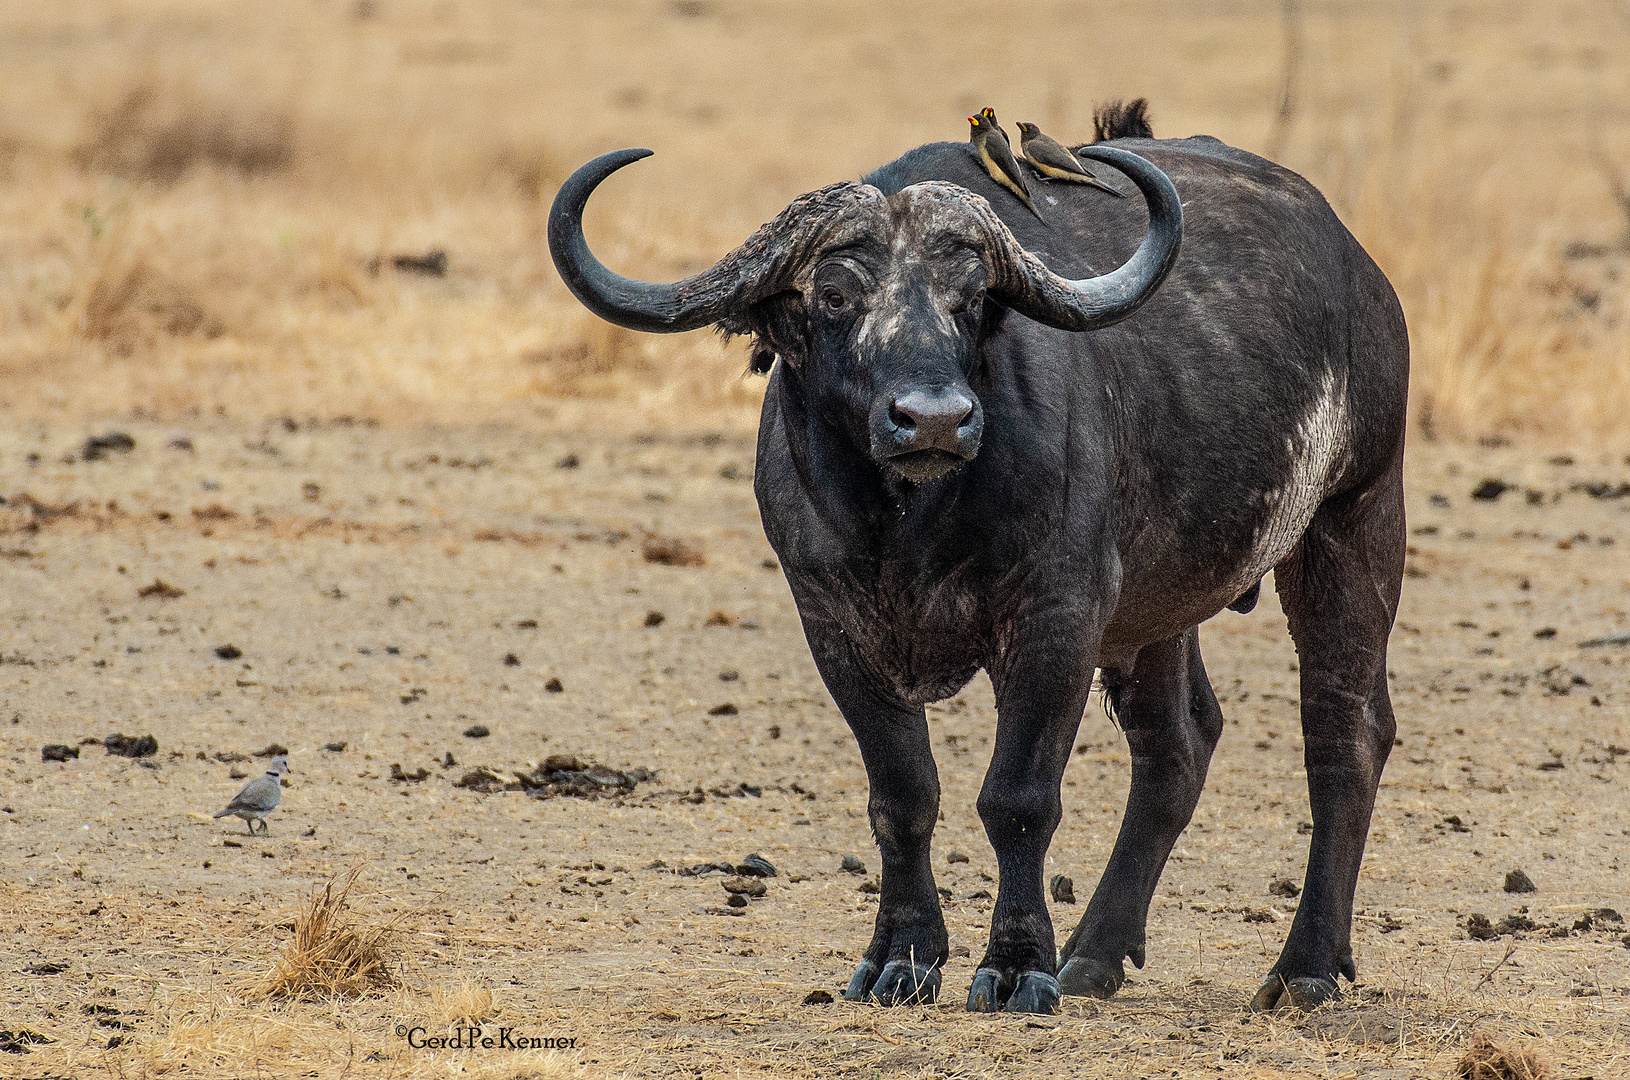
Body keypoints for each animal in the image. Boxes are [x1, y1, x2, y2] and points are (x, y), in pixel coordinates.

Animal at [550, 105, 1414, 1016]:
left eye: (969, 301)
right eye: (835, 295)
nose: (933, 419)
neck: (909, 522)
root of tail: (1360, 272)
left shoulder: (1056, 619)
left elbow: (1019, 799)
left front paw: (1016, 966)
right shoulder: (833, 626)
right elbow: (903, 796)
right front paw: (901, 958)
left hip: (1354, 519)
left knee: (1343, 732)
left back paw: (1304, 967)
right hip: (1157, 610)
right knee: (1177, 744)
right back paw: (1095, 954)